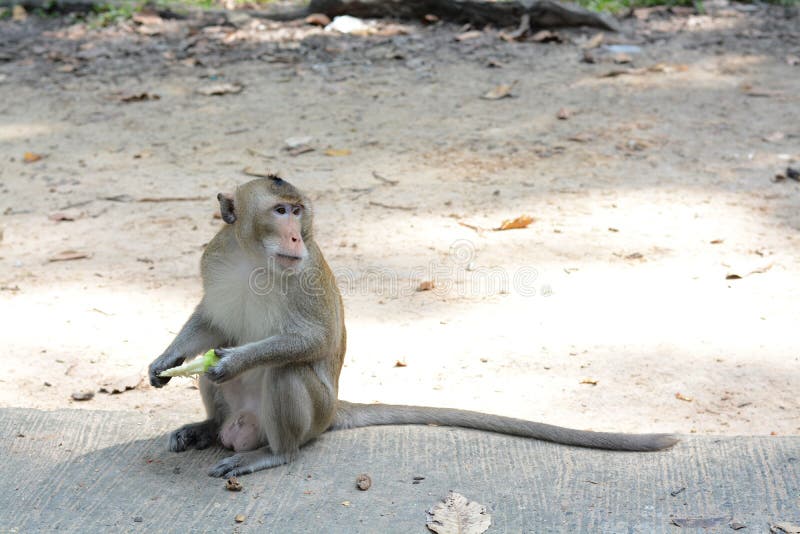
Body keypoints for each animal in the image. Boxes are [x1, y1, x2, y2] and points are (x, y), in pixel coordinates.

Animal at [148, 176, 677, 478]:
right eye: (280, 211)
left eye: (297, 211)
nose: (296, 236)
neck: (253, 256)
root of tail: (334, 410)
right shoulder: (216, 257)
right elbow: (211, 320)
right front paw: (166, 360)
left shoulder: (305, 274)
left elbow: (314, 339)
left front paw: (232, 361)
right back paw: (207, 428)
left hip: (314, 414)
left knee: (288, 371)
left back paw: (274, 454)